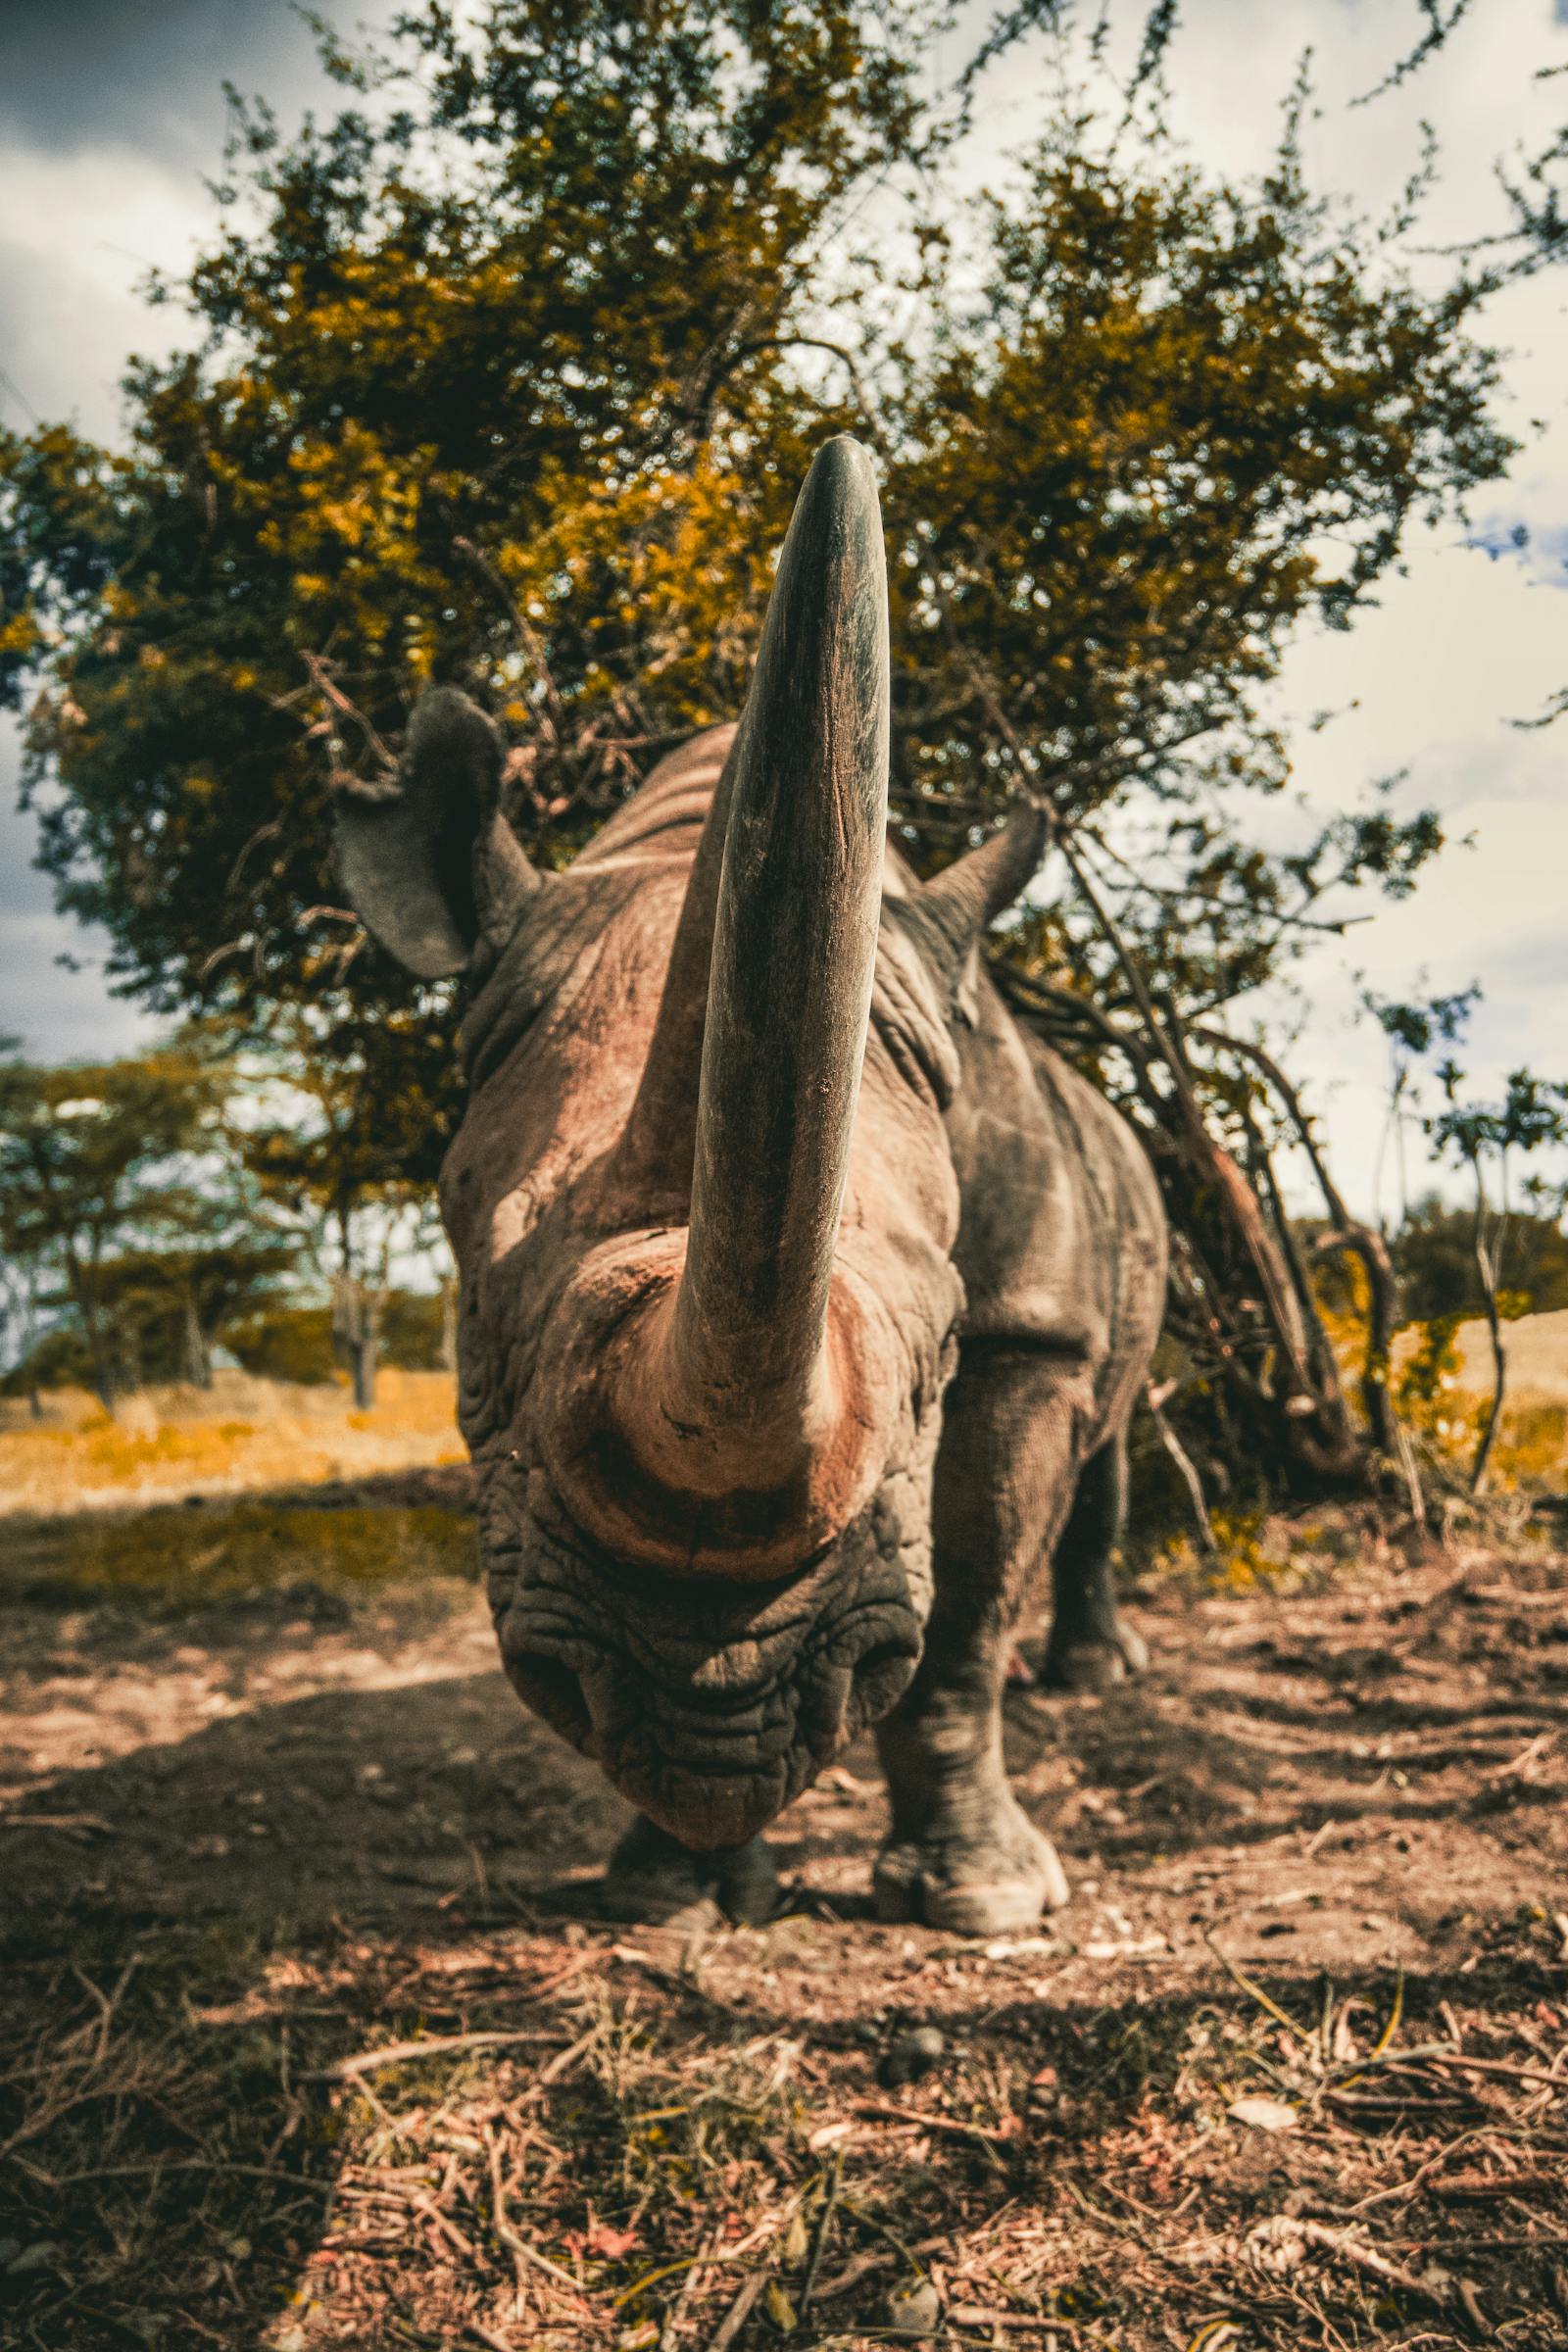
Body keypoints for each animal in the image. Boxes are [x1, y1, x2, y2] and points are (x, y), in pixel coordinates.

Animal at [334, 437, 1166, 1934]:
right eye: (469, 1332)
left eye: (941, 1354)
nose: (709, 1691)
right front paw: (667, 1891)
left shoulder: (1025, 1327)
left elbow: (965, 1620)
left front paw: (986, 1905)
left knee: (1116, 1425)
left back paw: (1089, 1678)